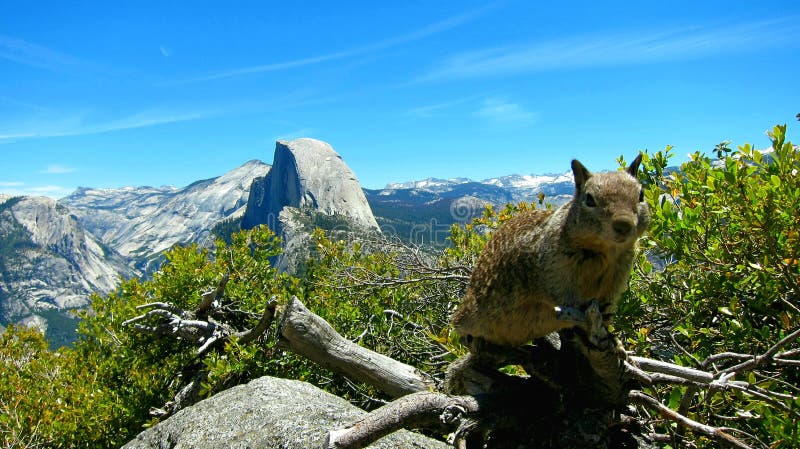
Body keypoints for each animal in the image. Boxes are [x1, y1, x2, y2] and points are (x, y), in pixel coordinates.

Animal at [451, 154, 650, 348]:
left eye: (641, 195)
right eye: (589, 199)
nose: (623, 224)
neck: (604, 252)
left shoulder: (617, 276)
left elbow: (606, 305)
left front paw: (607, 327)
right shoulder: (556, 272)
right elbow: (565, 299)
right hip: (471, 313)